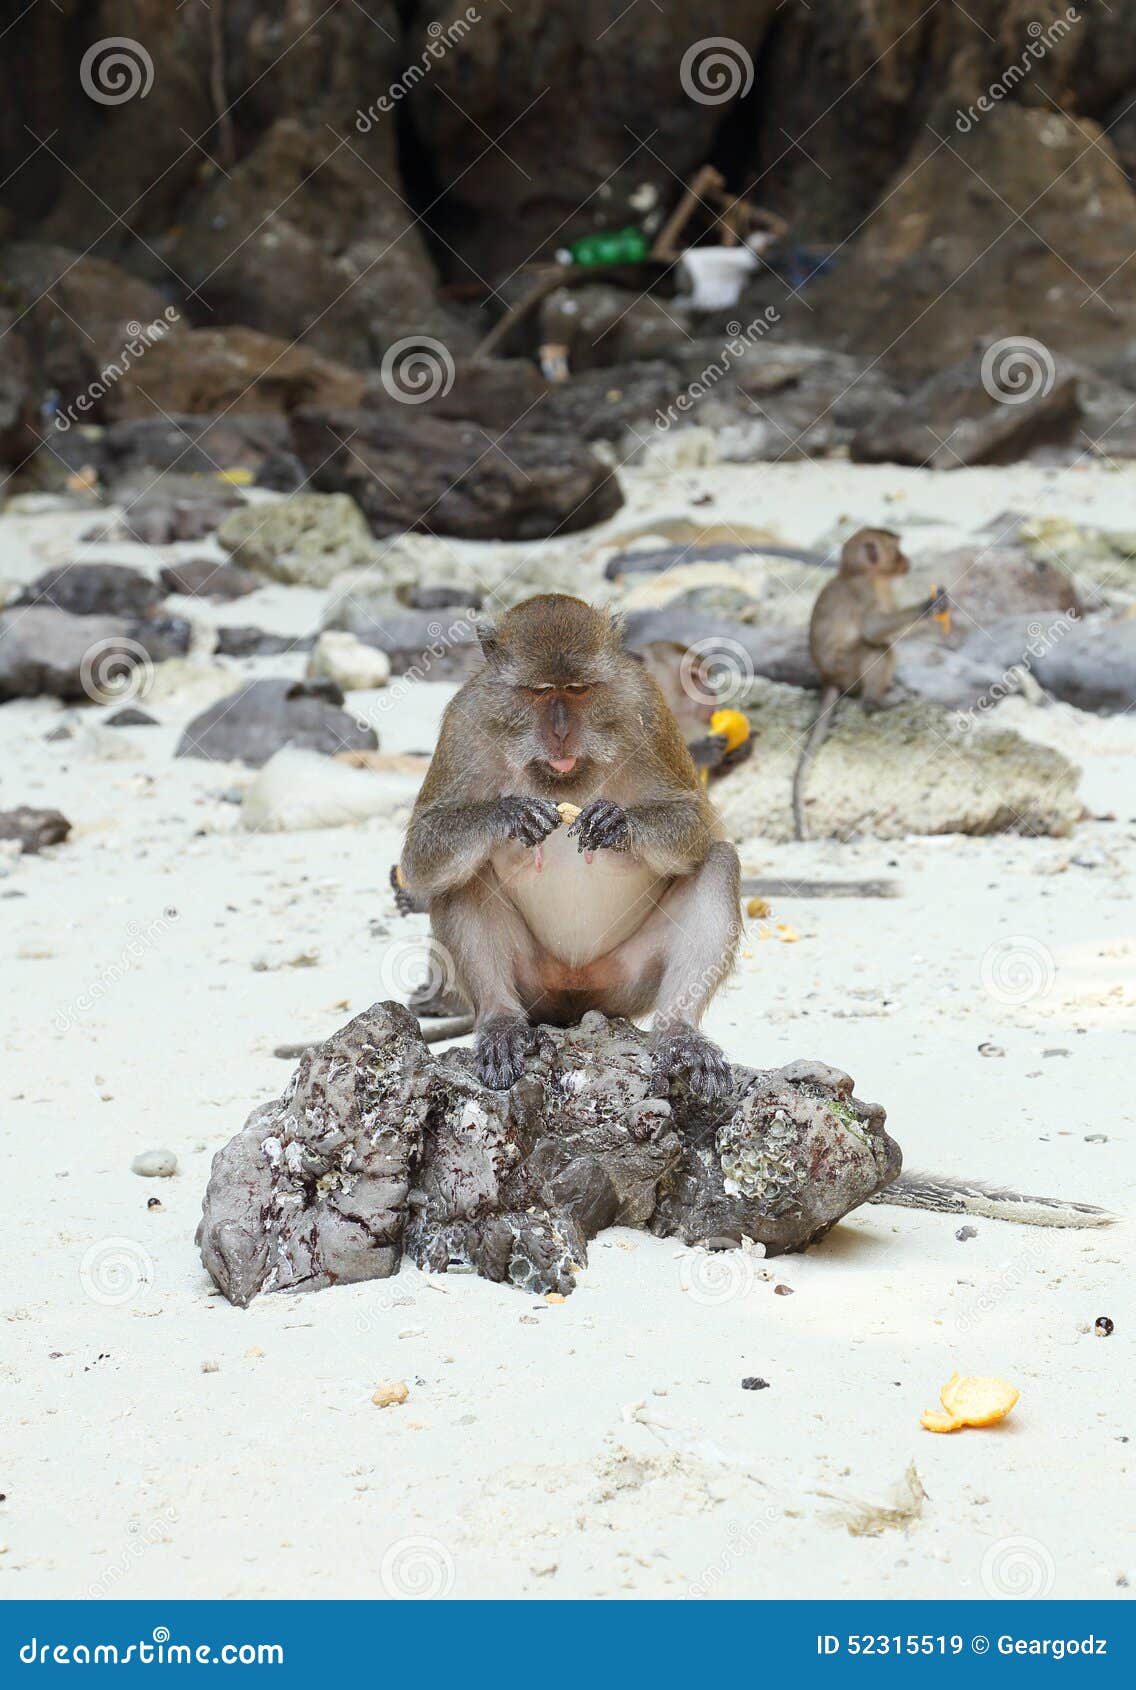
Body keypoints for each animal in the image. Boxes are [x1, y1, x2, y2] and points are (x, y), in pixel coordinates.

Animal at [399, 594, 742, 1098]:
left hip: (626, 981)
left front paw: (619, 822)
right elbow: (422, 852)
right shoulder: (467, 720)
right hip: (535, 983)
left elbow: (696, 823)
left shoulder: (646, 705)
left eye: (578, 689)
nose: (560, 732)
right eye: (540, 691)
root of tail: (577, 991)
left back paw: (680, 1032)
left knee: (718, 861)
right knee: (461, 876)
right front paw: (511, 814)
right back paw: (501, 1023)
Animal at [792, 528, 949, 841]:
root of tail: (828, 677)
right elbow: (872, 630)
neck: (862, 574)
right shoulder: (865, 592)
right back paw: (876, 701)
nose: (907, 561)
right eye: (896, 553)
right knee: (877, 649)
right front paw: (928, 606)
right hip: (847, 669)